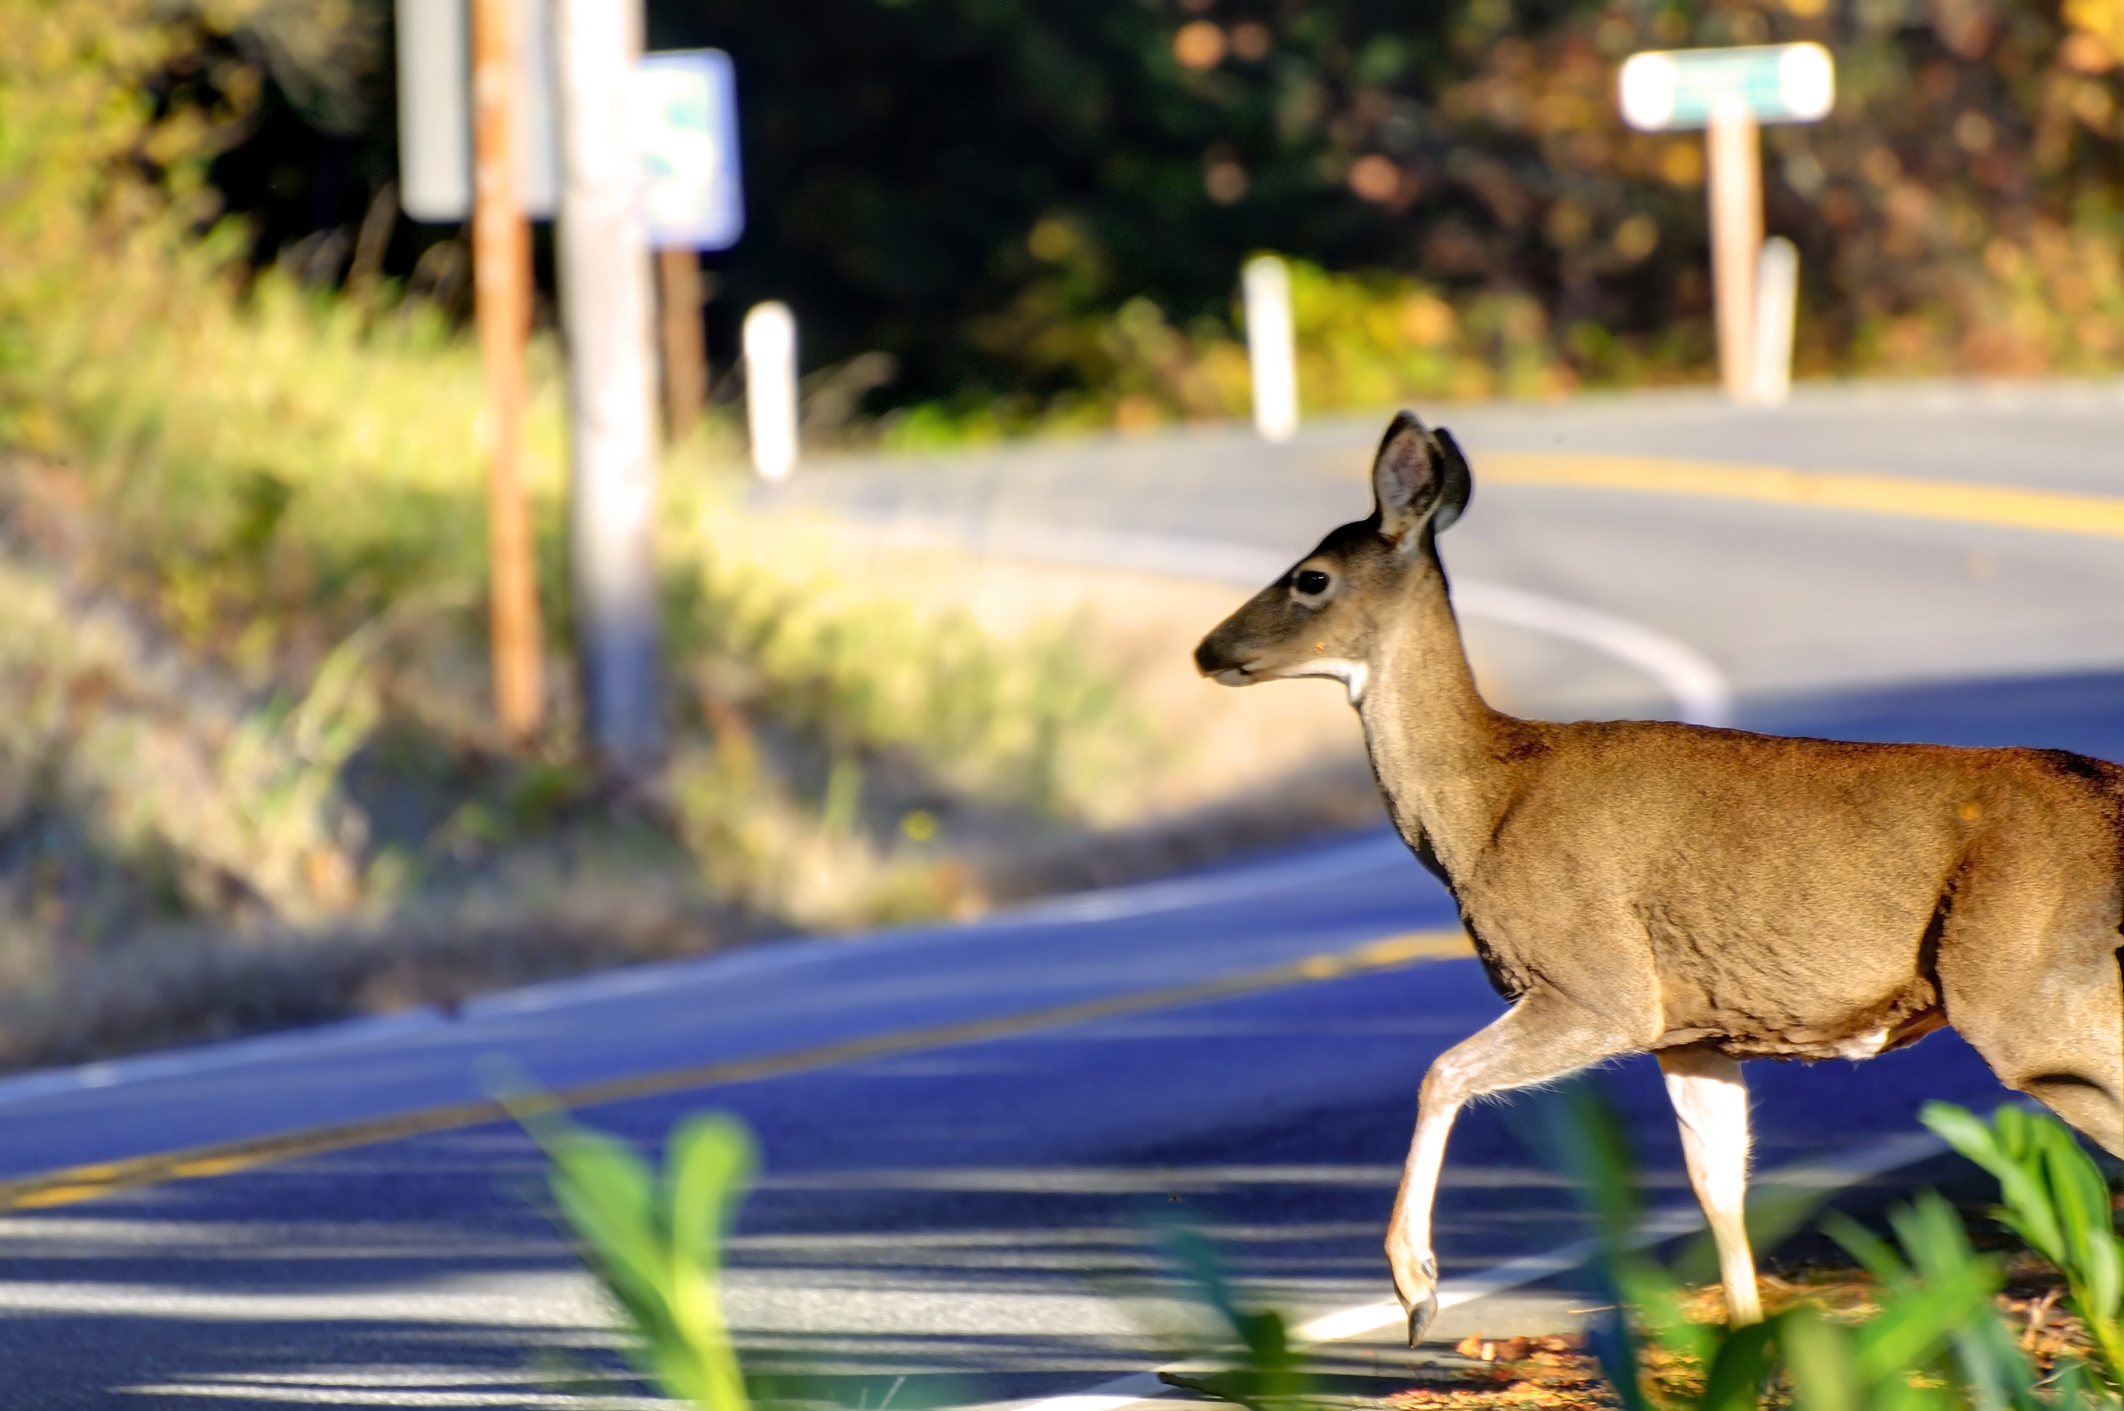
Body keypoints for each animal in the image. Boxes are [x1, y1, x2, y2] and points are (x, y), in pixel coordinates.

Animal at [1195, 410, 2124, 1342]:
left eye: (1311, 577)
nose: (1208, 649)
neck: (1485, 802)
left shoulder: (1599, 981)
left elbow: (1441, 1072)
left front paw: (1416, 1286)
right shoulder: (1696, 1026)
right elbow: (1717, 1182)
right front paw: (1746, 1339)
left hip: (2028, 995)